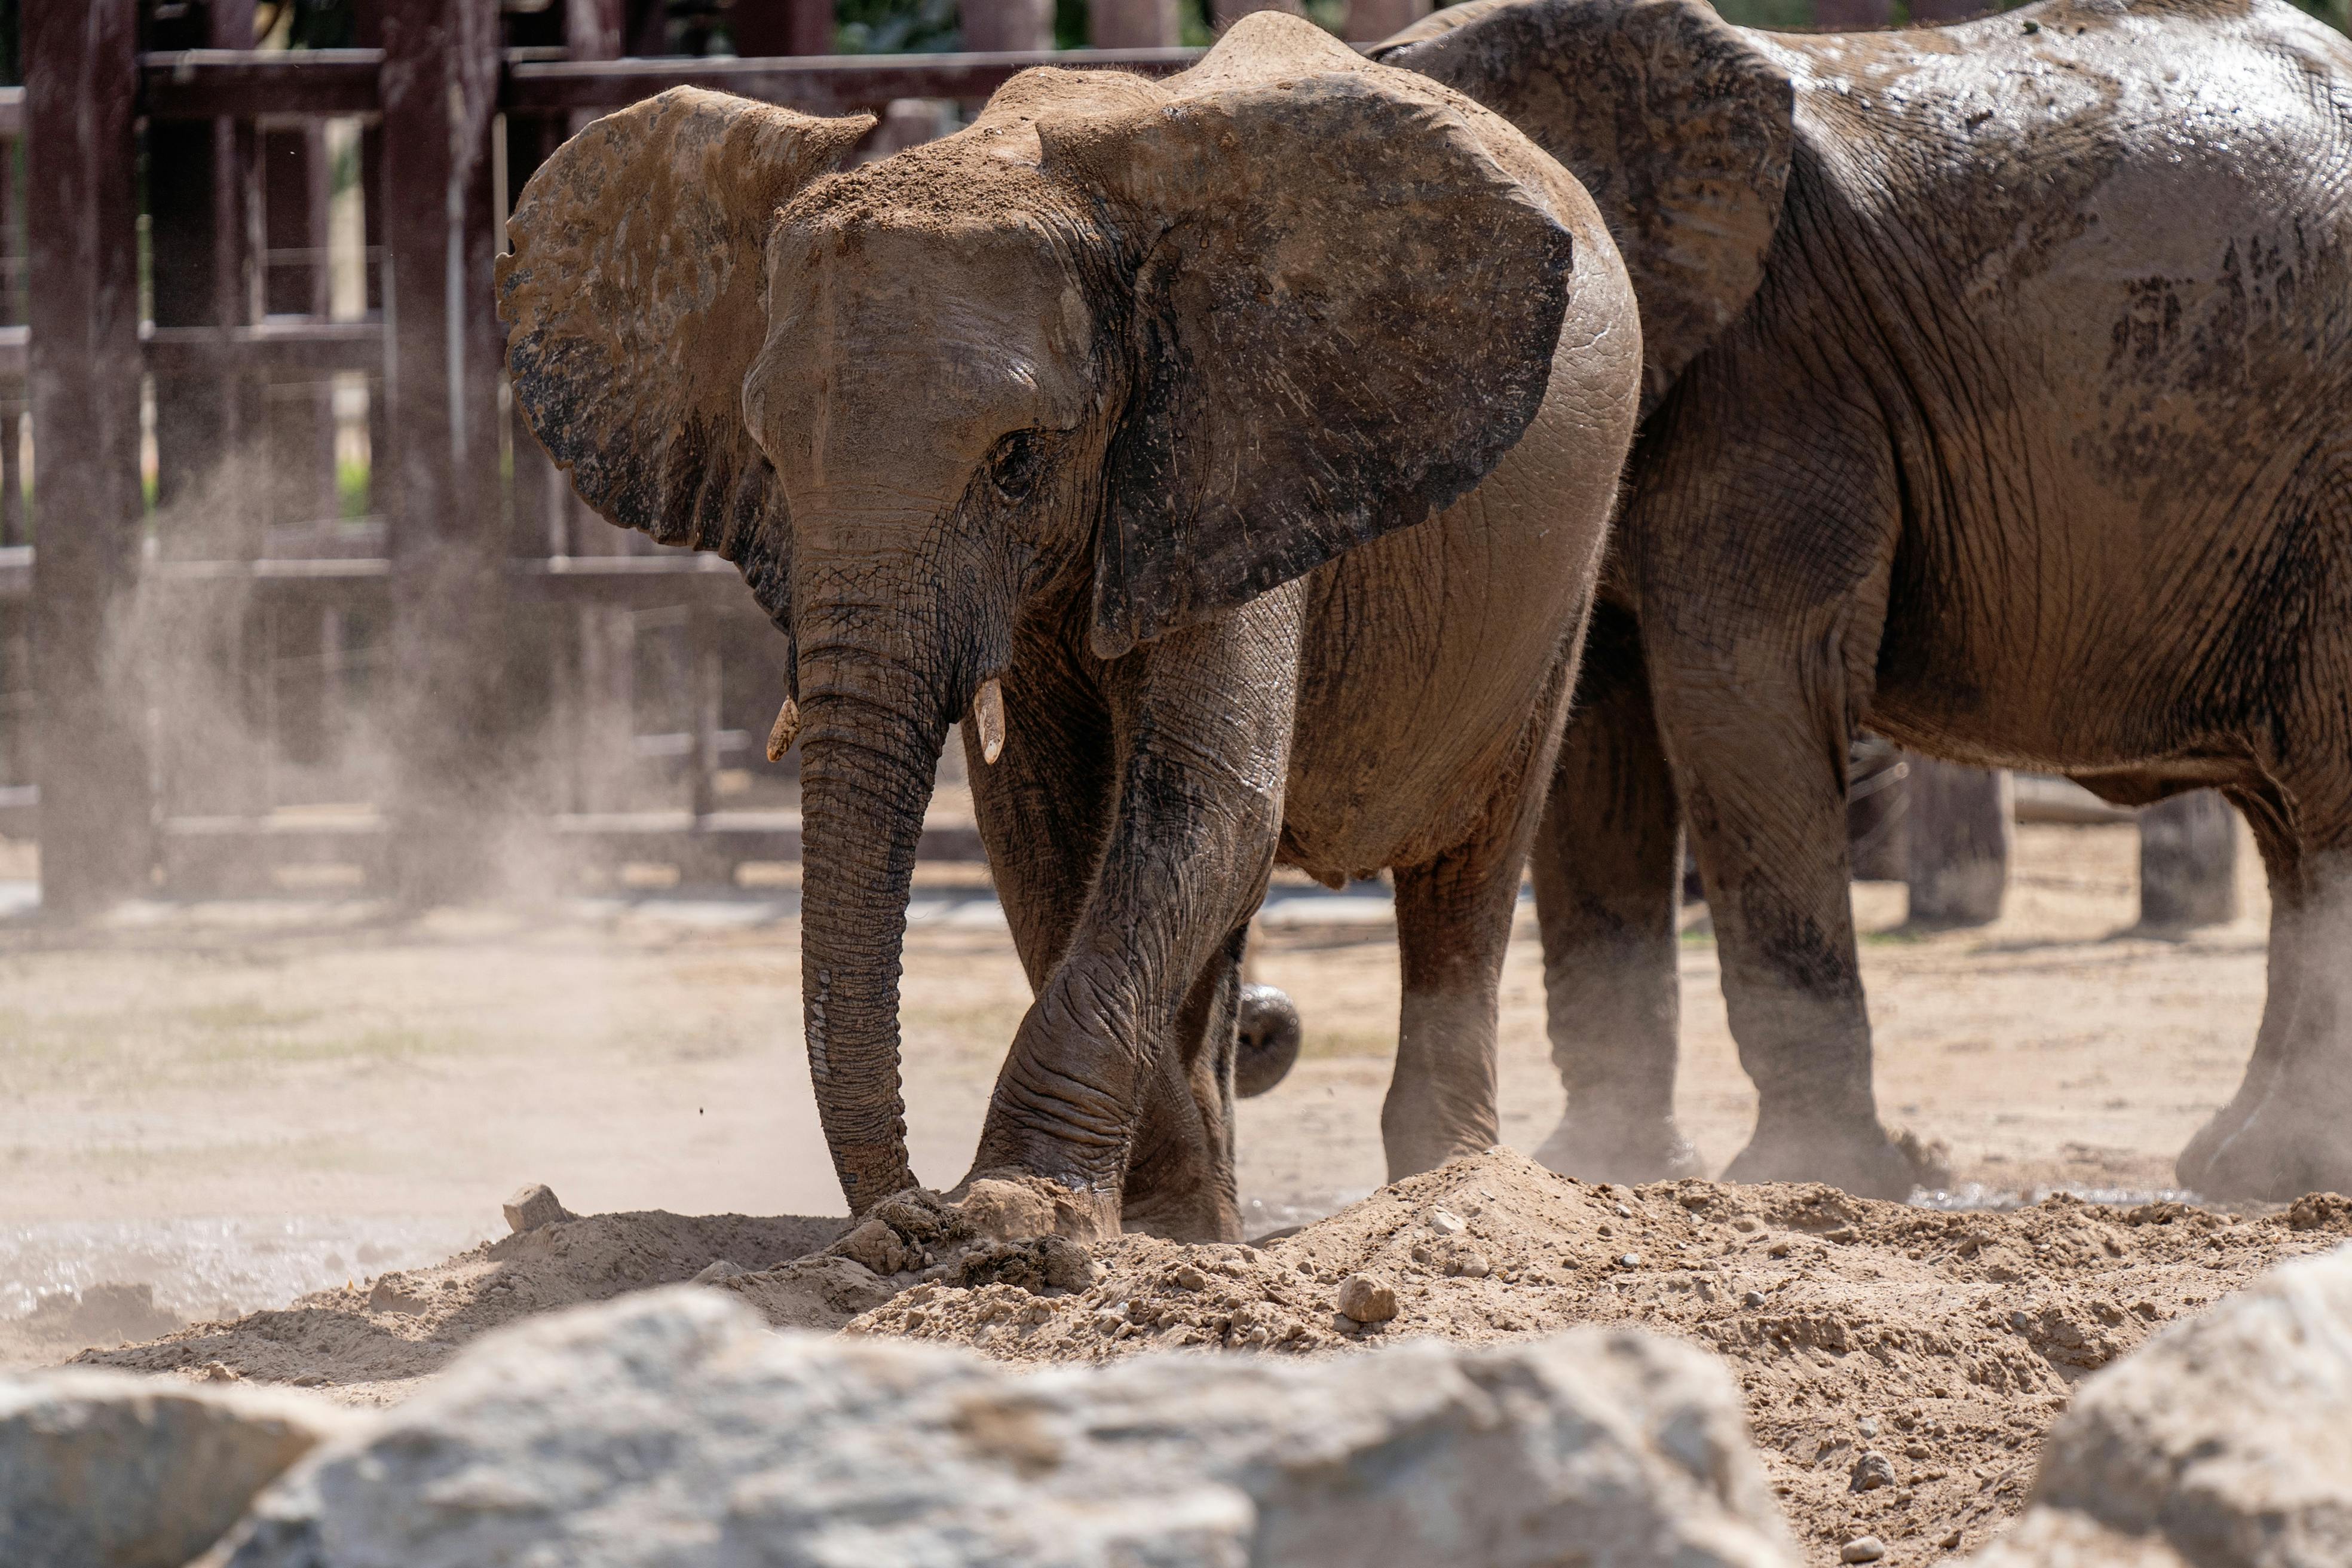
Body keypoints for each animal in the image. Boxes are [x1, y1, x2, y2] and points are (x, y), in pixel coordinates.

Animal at [497, 12, 1643, 1240]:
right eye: (766, 455)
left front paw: (1017, 1215)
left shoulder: (1227, 449)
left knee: (1470, 864)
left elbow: (1204, 798)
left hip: (1564, 558)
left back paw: (1449, 1179)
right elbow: (1043, 826)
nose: (903, 1215)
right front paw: (1158, 1226)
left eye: (1017, 461)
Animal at [1375, 0, 2352, 1200]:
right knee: (2290, 822)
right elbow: (1596, 741)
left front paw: (1815, 1178)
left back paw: (2277, 1166)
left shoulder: (1778, 377)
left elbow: (1737, 696)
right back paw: (2234, 1164)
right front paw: (1605, 1173)